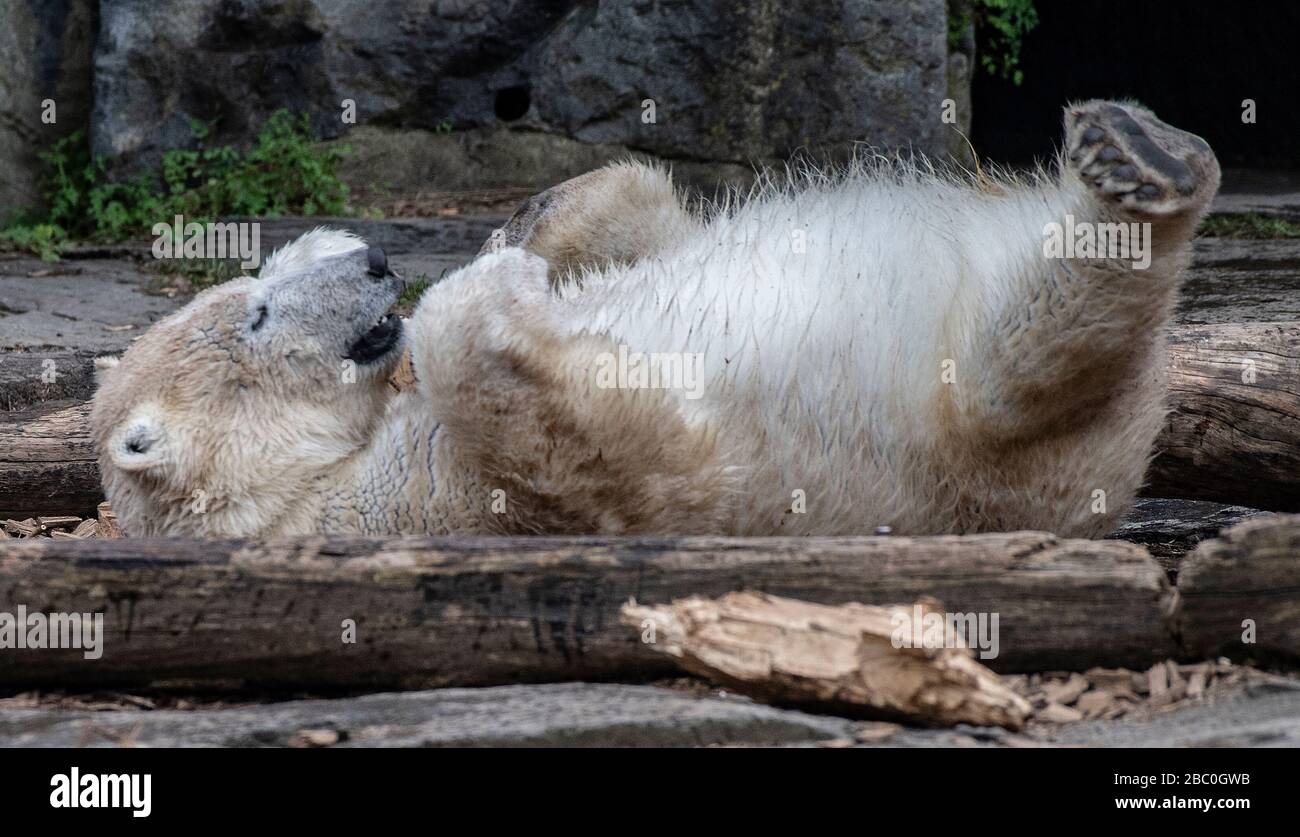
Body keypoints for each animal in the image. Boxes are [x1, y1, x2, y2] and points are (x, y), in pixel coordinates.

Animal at [90, 100, 1219, 539]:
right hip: (991, 459)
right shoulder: (405, 506)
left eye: (273, 273)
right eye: (257, 314)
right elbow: (609, 458)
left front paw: (521, 231)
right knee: (1018, 374)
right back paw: (1143, 176)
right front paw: (486, 287)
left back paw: (1145, 148)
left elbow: (639, 216)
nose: (374, 260)